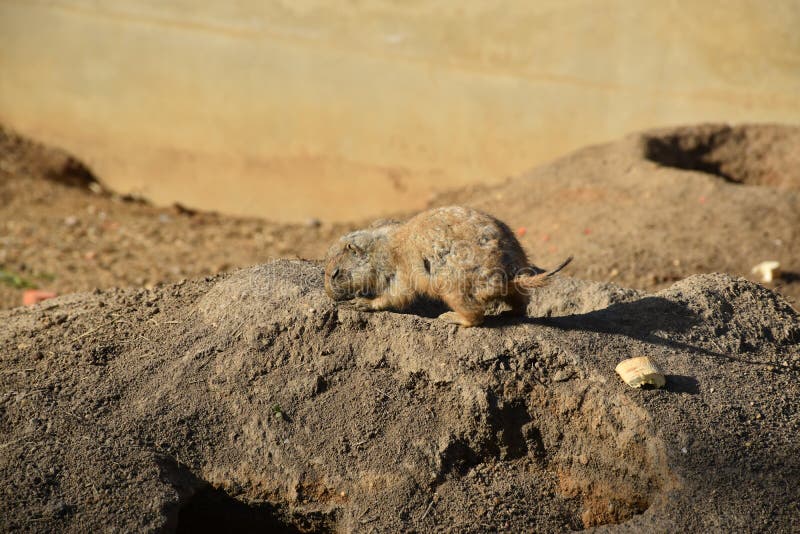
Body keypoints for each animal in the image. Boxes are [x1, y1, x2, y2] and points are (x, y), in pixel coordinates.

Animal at [324, 206, 572, 327]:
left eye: (335, 273)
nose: (329, 295)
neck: (380, 247)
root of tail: (509, 274)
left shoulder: (402, 268)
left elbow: (398, 294)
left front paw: (363, 303)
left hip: (453, 285)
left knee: (476, 316)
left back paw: (450, 317)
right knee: (522, 303)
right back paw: (510, 312)